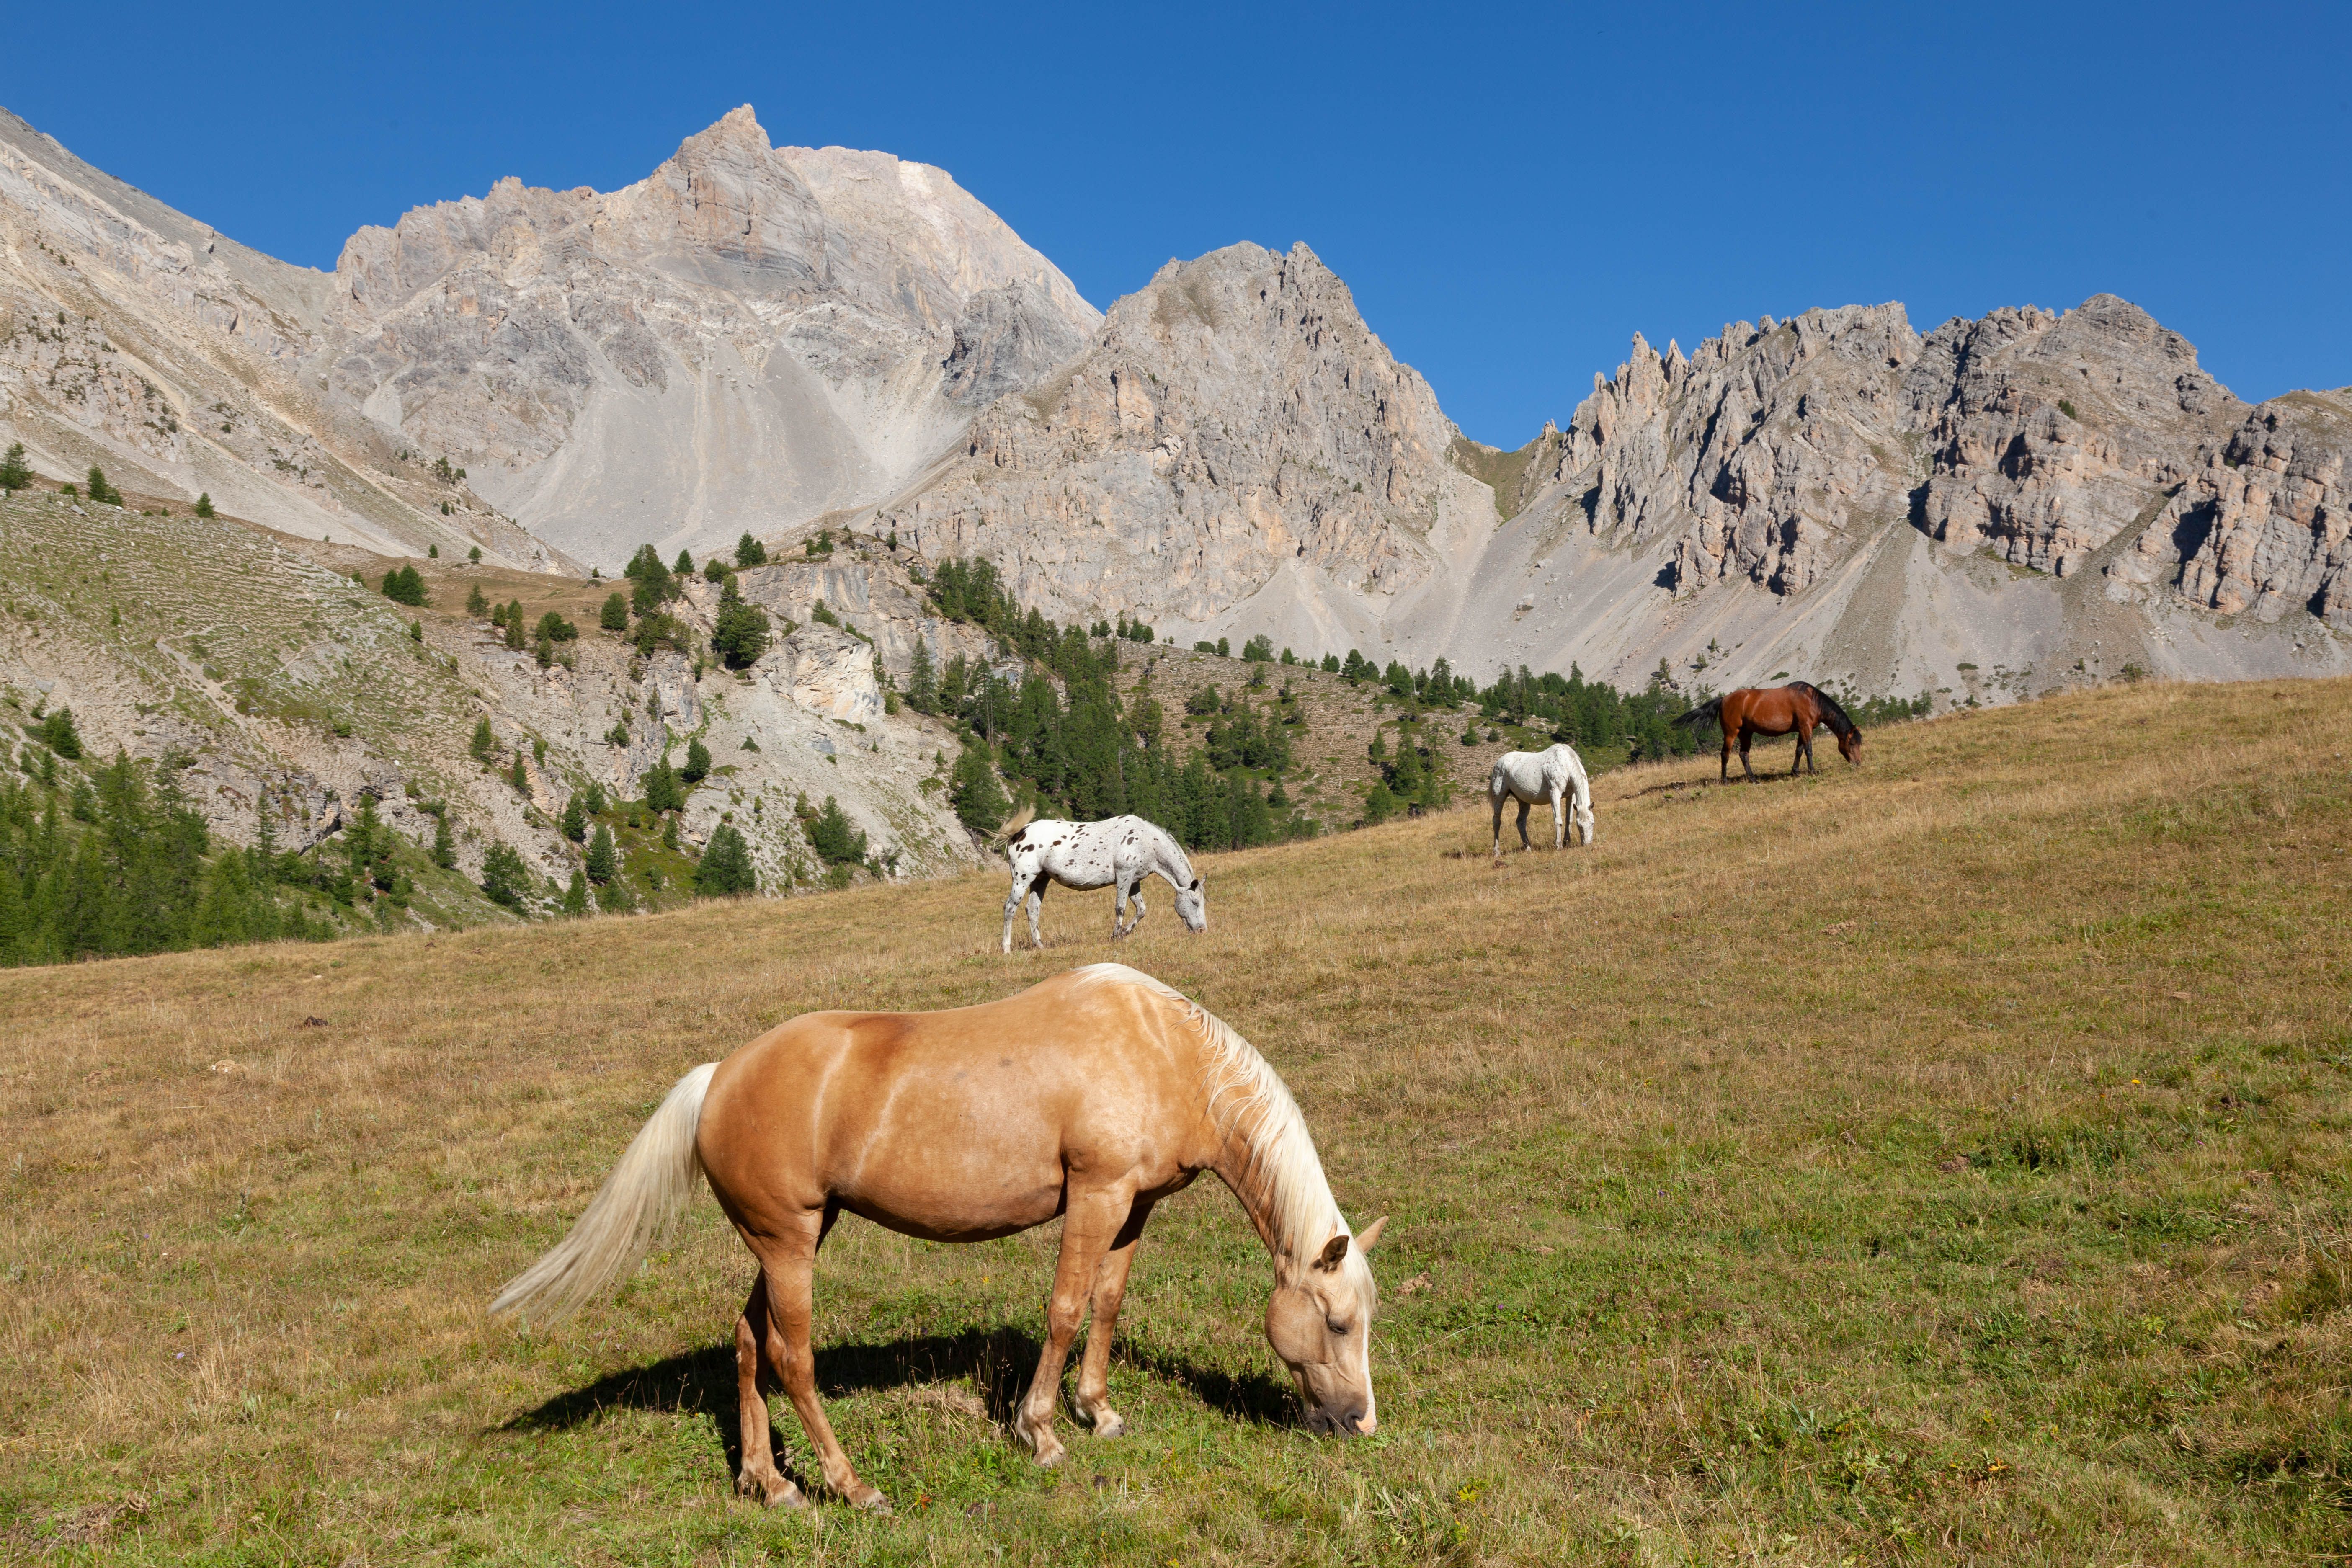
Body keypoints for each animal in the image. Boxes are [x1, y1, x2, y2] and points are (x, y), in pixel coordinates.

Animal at [488, 963, 1386, 1510]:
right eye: (1338, 1321)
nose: (1359, 1423)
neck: (1162, 1049)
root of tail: (718, 1075)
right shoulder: (1095, 1194)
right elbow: (1064, 1308)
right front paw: (1041, 1430)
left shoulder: (1133, 1205)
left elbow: (1105, 1303)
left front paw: (1098, 1410)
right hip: (788, 1243)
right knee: (790, 1355)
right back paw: (851, 1485)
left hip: (787, 1240)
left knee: (745, 1340)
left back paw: (768, 1481)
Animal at [1002, 814, 1204, 954]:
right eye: (1195, 903)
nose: (1202, 930)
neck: (1146, 841)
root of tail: (1019, 834)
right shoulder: (1124, 876)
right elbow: (1120, 908)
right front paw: (1115, 935)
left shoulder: (1134, 881)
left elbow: (1141, 910)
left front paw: (1125, 933)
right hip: (1022, 879)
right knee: (1010, 908)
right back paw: (1006, 948)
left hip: (1041, 880)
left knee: (1033, 910)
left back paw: (1040, 945)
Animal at [1489, 742, 1595, 858]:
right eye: (1579, 826)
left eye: (1593, 824)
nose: (1587, 844)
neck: (1565, 764)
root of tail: (1497, 764)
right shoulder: (1555, 793)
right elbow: (1558, 820)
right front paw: (1559, 846)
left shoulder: (1571, 796)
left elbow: (1569, 820)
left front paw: (1567, 843)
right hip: (1500, 796)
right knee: (1496, 822)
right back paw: (1497, 852)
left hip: (1523, 801)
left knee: (1520, 822)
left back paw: (1528, 848)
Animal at [1675, 682, 1862, 781]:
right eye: (1852, 743)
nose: (1858, 763)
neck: (1811, 700)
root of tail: (1723, 700)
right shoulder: (1805, 727)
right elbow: (1809, 750)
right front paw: (1812, 771)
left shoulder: (1801, 729)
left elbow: (1799, 750)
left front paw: (1795, 772)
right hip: (1731, 733)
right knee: (1725, 755)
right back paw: (1725, 780)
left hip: (1746, 733)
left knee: (1744, 755)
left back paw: (1753, 779)